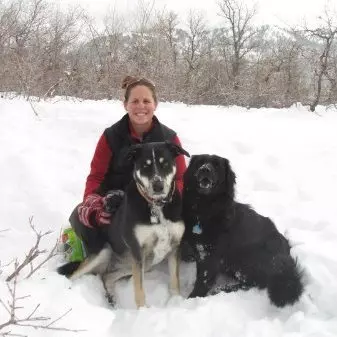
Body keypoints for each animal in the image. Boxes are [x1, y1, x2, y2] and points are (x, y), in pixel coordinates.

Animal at [58, 142, 189, 308]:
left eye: (165, 163)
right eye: (145, 165)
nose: (158, 186)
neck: (156, 206)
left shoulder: (174, 247)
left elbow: (174, 281)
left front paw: (176, 301)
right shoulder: (138, 250)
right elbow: (139, 289)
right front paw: (142, 311)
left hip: (136, 263)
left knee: (107, 276)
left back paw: (112, 298)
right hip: (105, 251)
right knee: (74, 275)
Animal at [182, 154, 304, 306]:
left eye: (217, 165)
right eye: (200, 163)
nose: (205, 169)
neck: (206, 210)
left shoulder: (210, 256)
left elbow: (203, 280)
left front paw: (192, 299)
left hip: (244, 257)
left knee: (256, 282)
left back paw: (223, 289)